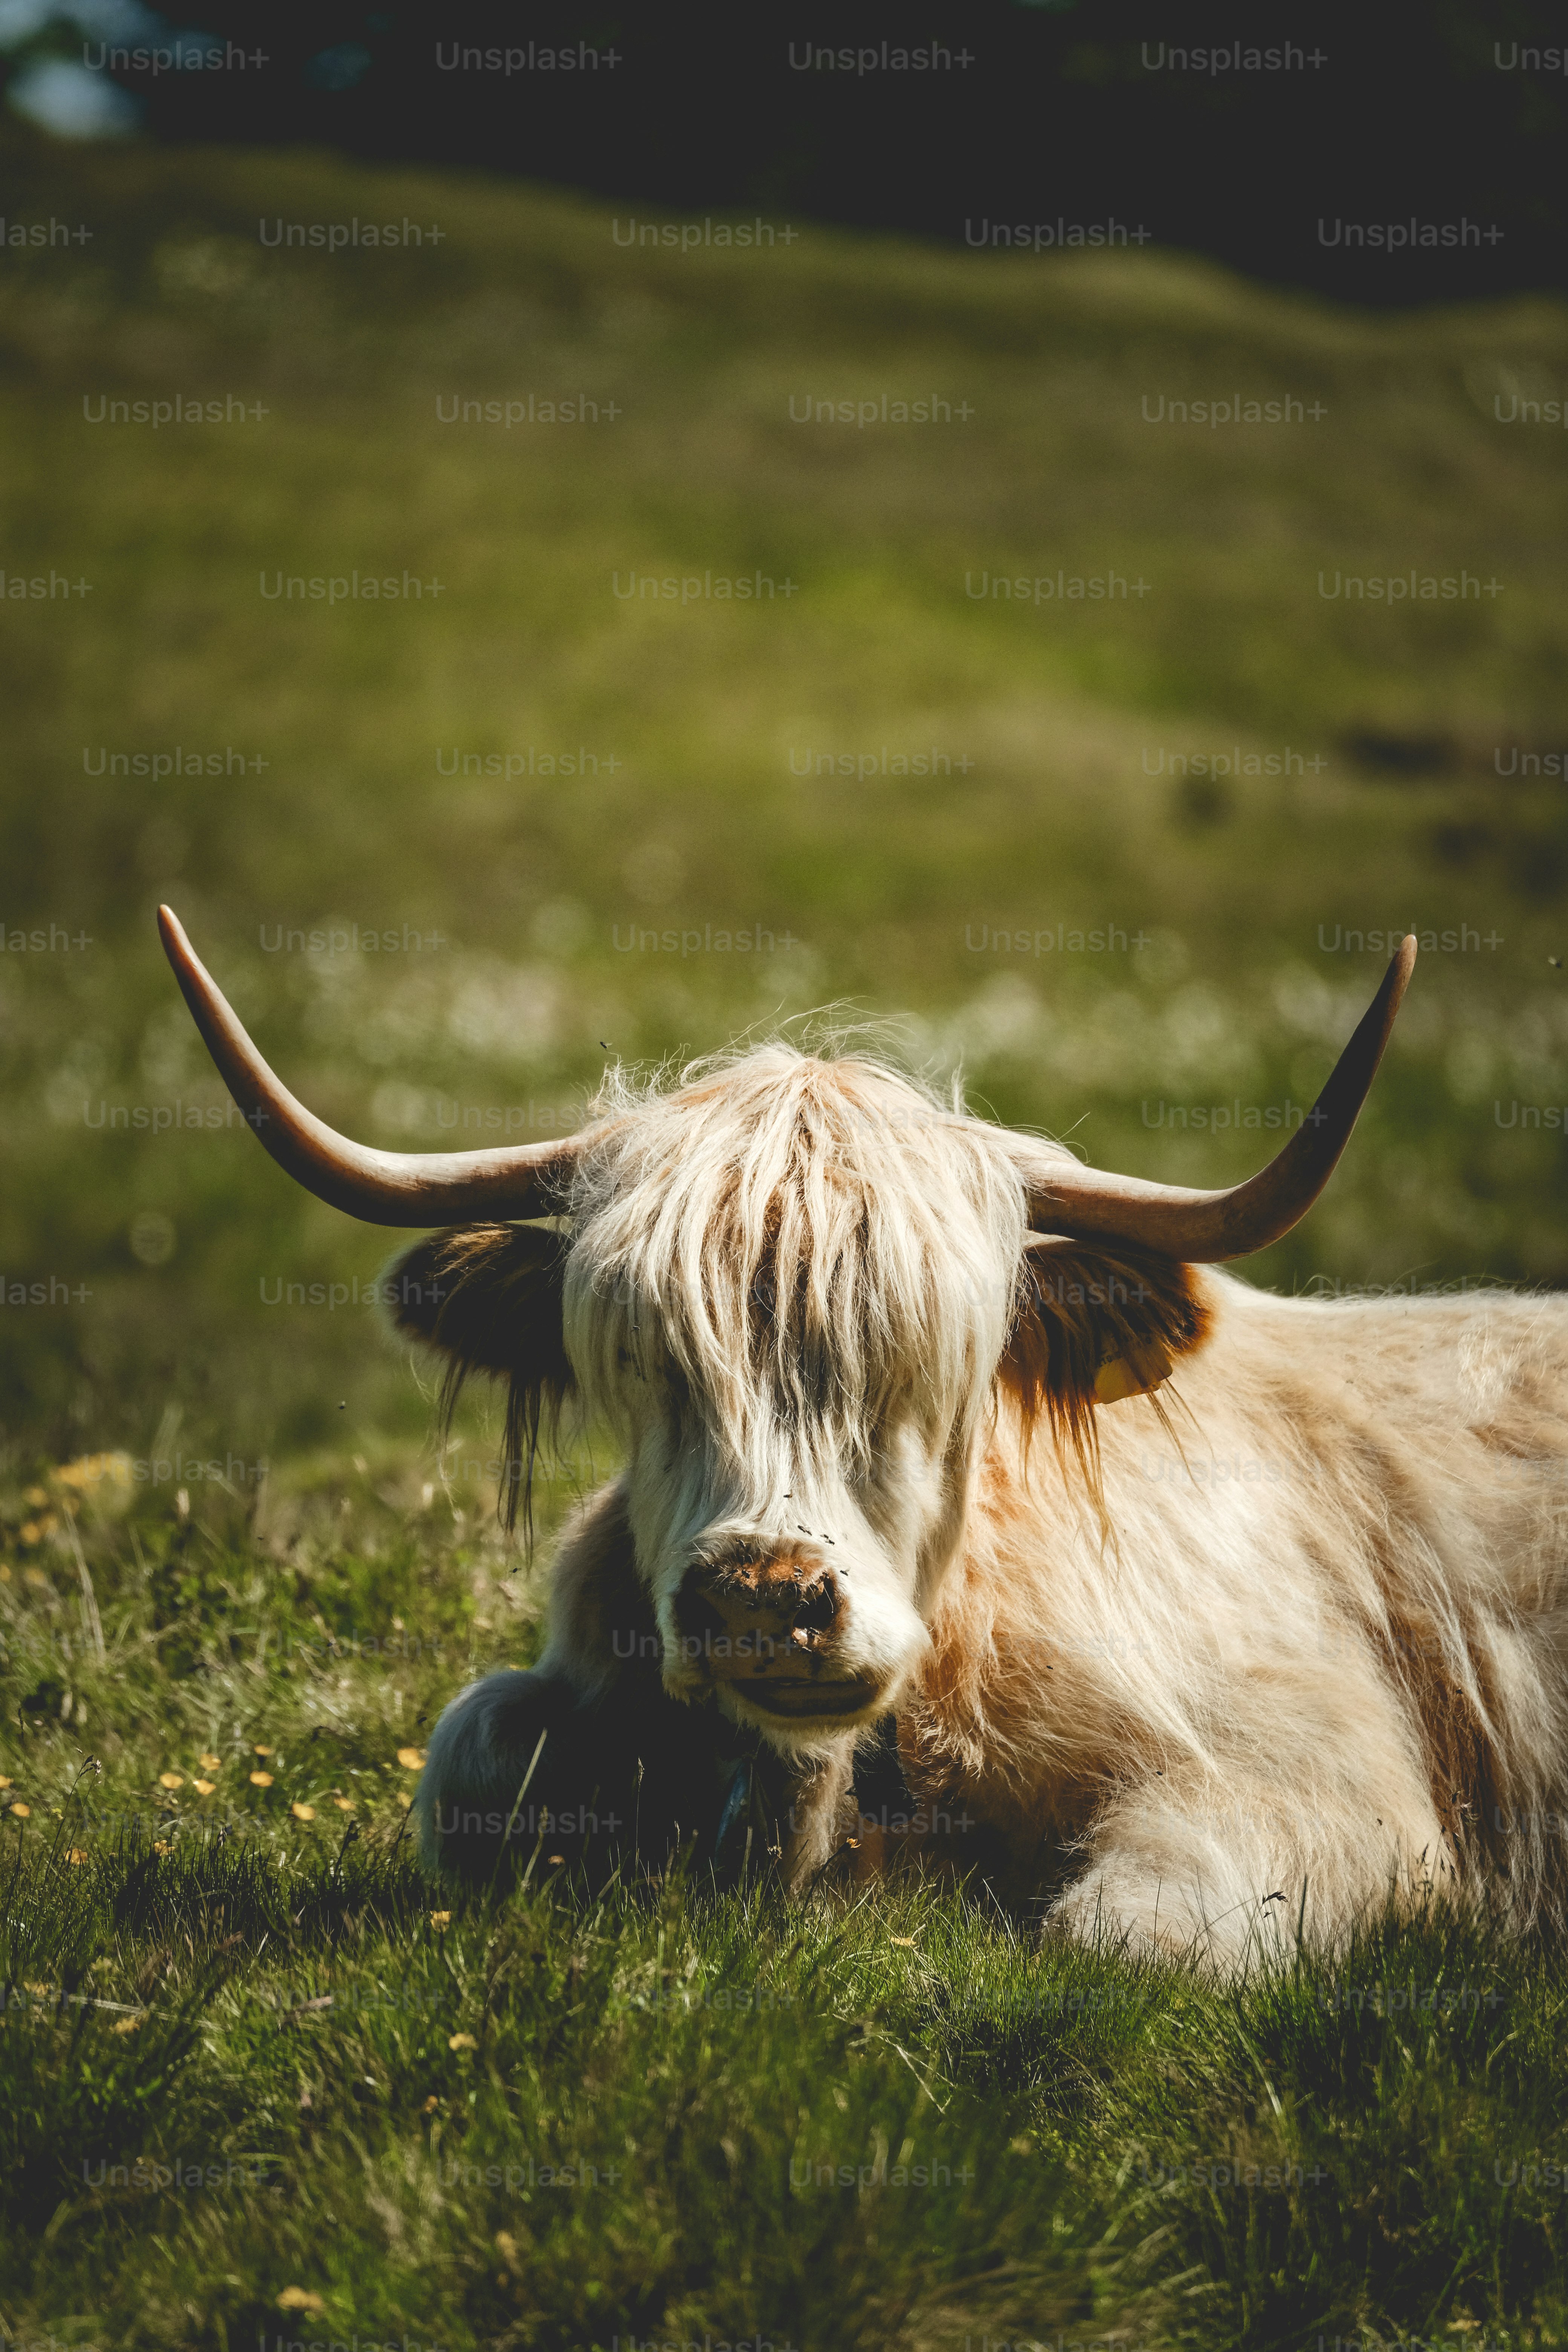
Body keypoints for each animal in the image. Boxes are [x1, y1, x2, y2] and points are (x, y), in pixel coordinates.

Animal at [159, 906, 1568, 1962]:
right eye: (647, 1366)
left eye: (928, 1371)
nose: (761, 1595)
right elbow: (476, 1752)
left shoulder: (1318, 1771)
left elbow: (1129, 1937)